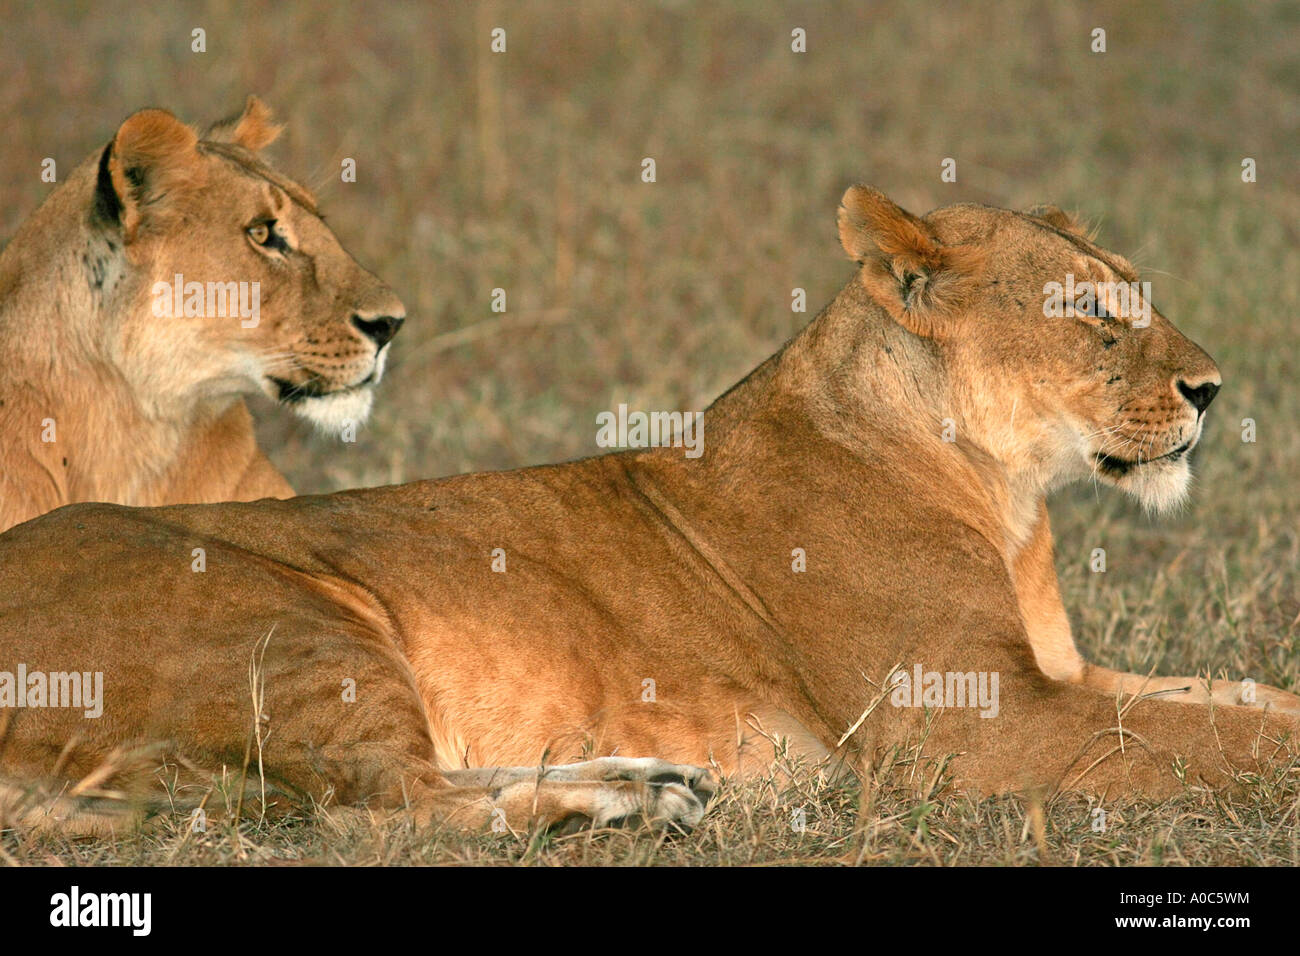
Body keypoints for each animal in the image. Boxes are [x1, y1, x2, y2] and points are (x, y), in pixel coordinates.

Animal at [1, 186, 1297, 834]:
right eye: (1093, 313)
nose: (1212, 387)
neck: (1005, 492)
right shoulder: (983, 728)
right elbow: (1213, 739)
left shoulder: (1064, 678)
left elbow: (1234, 699)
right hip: (299, 621)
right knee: (374, 817)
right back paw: (626, 799)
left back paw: (646, 781)